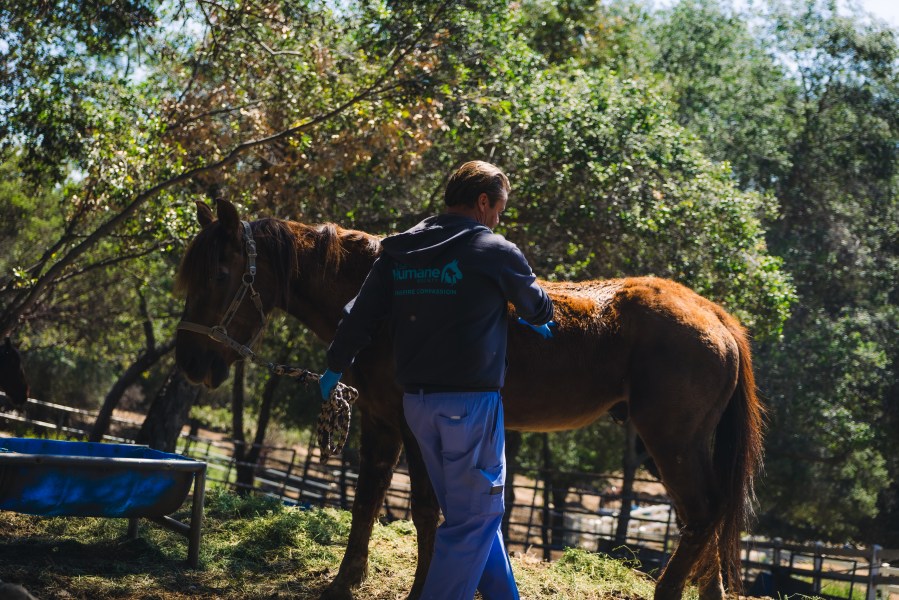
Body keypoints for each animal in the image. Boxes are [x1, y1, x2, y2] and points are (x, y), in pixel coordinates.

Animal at [174, 199, 765, 600]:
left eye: (221, 274)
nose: (189, 362)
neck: (382, 303)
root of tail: (715, 315)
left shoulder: (412, 427)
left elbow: (424, 510)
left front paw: (420, 589)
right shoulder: (379, 423)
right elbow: (366, 500)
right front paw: (344, 582)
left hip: (671, 442)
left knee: (701, 514)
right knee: (711, 518)